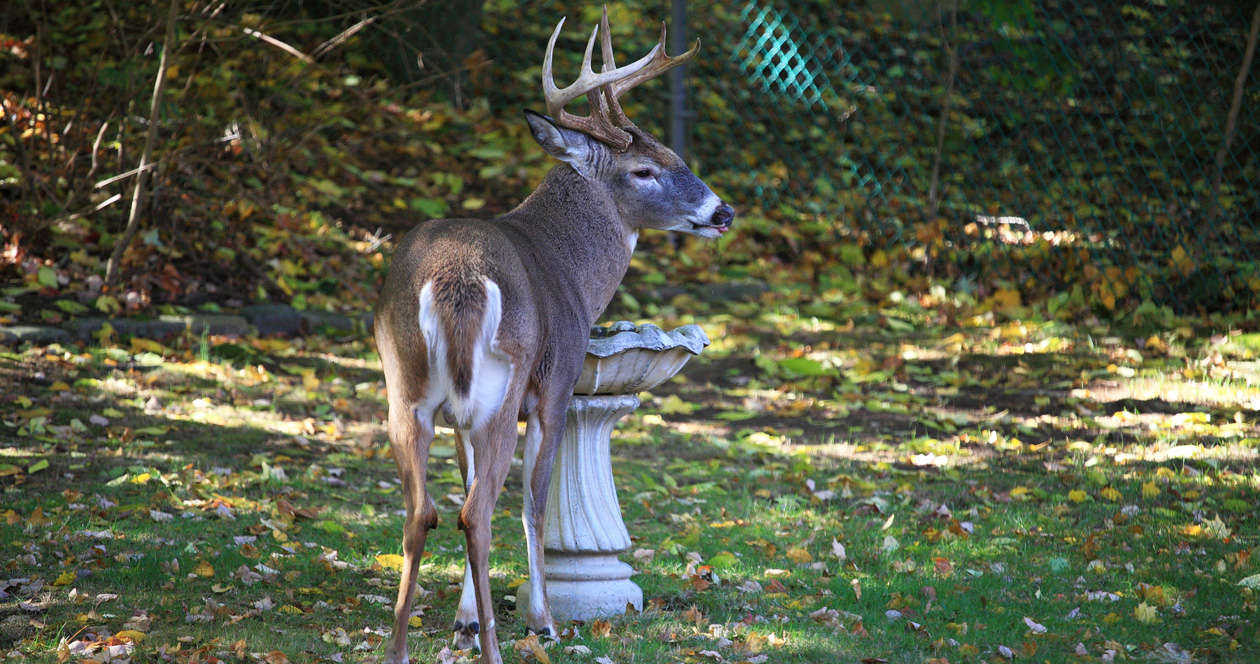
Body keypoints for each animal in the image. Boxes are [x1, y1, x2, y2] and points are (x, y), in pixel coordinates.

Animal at [374, 9, 734, 664]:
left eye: (676, 153)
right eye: (645, 170)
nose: (724, 212)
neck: (571, 271)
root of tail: (455, 281)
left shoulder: (462, 413)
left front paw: (463, 623)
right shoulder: (556, 386)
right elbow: (534, 504)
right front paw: (540, 621)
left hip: (405, 388)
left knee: (425, 511)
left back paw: (401, 649)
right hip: (503, 382)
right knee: (477, 512)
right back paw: (504, 644)